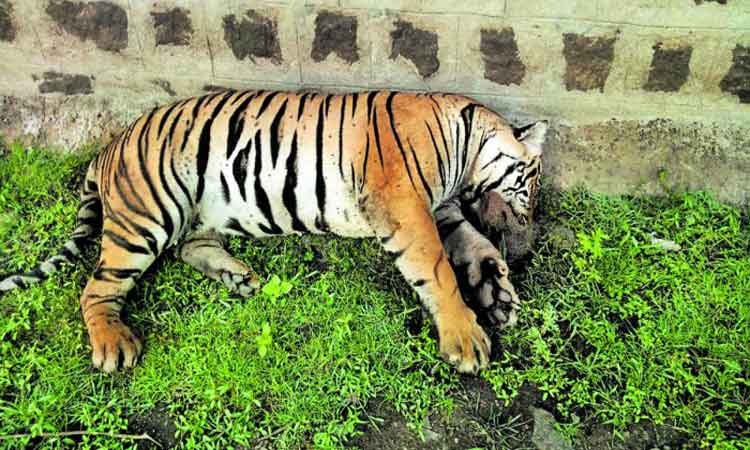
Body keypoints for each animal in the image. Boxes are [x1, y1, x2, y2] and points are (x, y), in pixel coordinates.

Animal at [0, 90, 546, 374]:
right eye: (535, 178)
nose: (530, 235)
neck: (465, 153)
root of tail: (110, 145)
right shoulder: (406, 208)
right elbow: (438, 271)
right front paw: (466, 339)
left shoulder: (443, 211)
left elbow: (475, 248)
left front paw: (498, 294)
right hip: (149, 213)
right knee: (97, 288)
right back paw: (115, 345)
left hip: (191, 213)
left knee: (188, 247)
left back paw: (238, 277)